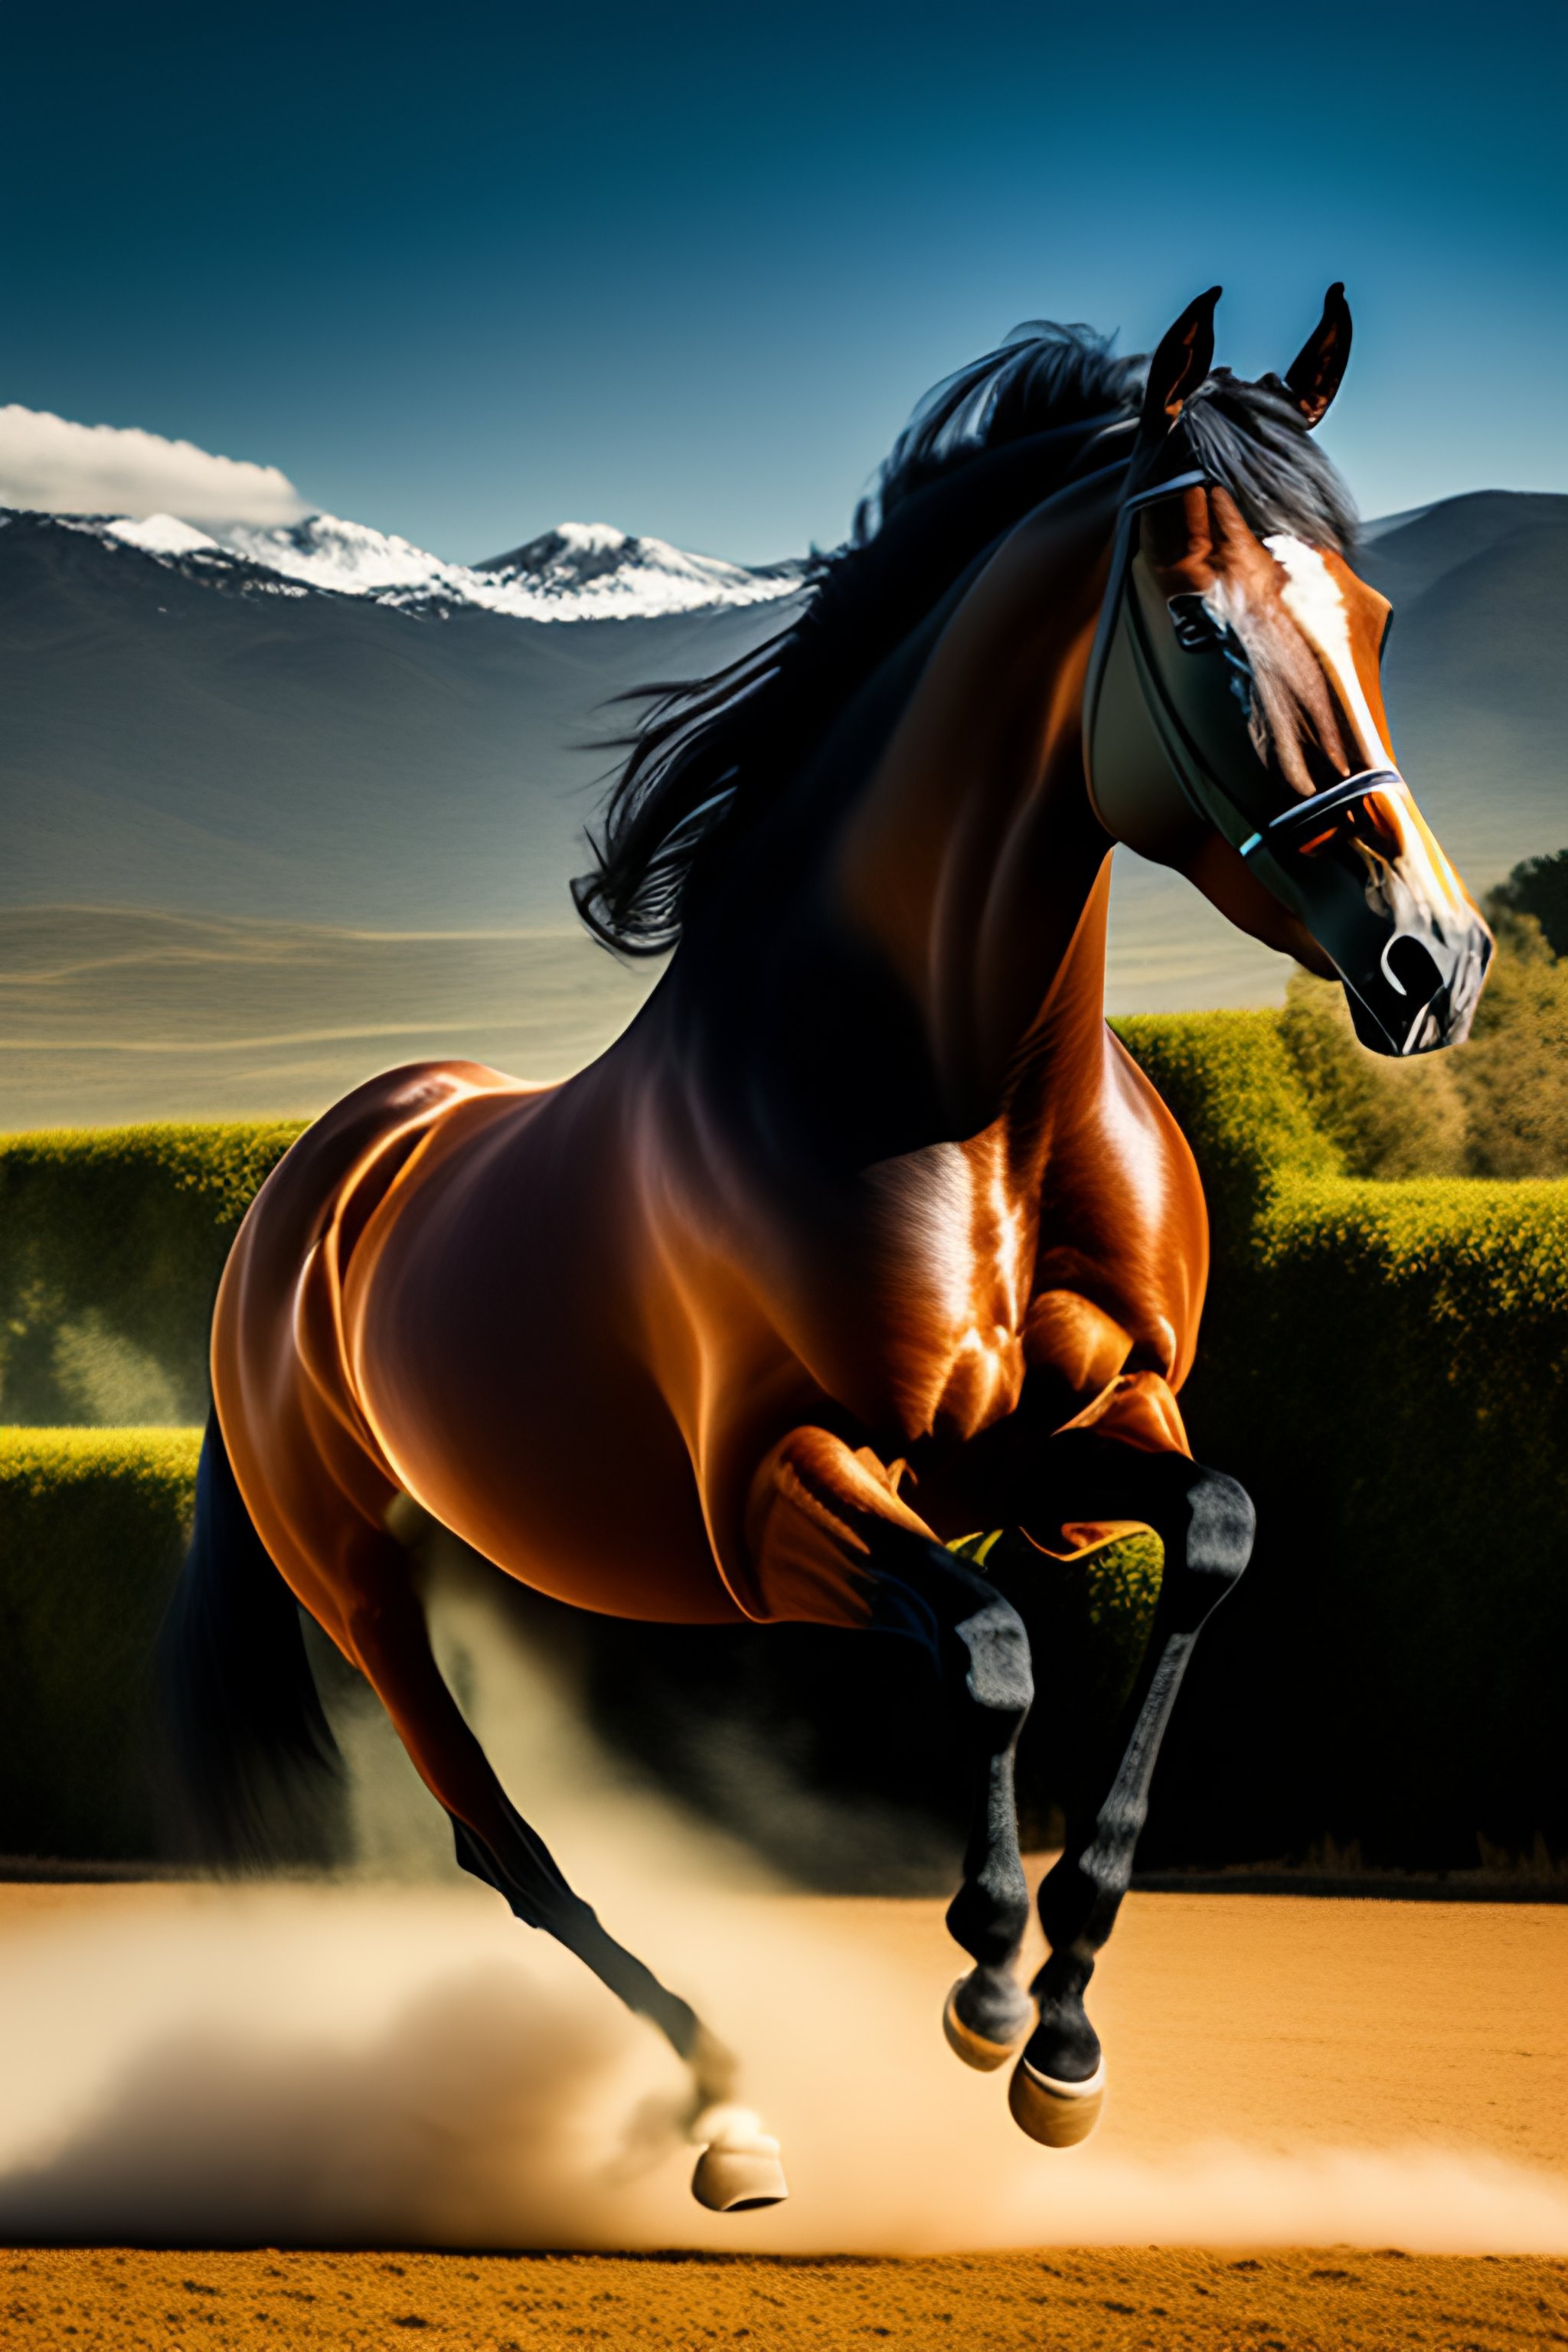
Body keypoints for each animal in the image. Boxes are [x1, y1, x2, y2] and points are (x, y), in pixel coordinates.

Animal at [163, 284, 1493, 2211]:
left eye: (1371, 614)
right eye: (1194, 618)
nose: (1427, 960)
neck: (957, 1103)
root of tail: (316, 1176)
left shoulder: (1081, 1449)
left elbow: (1215, 1539)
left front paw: (1066, 2034)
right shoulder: (787, 1492)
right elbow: (996, 1650)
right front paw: (989, 1993)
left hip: (547, 1566)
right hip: (357, 1582)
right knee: (506, 1844)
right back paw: (726, 2110)